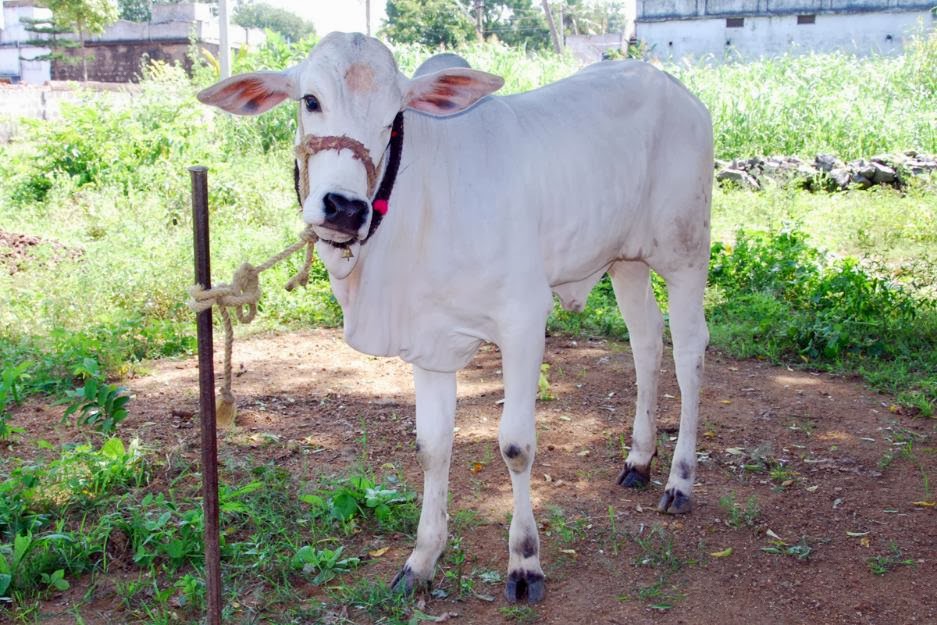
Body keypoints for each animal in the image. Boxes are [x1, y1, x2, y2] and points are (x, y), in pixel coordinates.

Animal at [197, 32, 713, 604]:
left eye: (394, 117)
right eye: (310, 100)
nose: (344, 209)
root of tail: (674, 89)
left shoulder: (523, 321)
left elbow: (516, 446)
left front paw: (524, 563)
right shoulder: (429, 343)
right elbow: (432, 447)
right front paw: (422, 560)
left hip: (685, 254)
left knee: (690, 354)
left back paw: (679, 480)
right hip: (626, 261)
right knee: (647, 341)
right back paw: (639, 460)